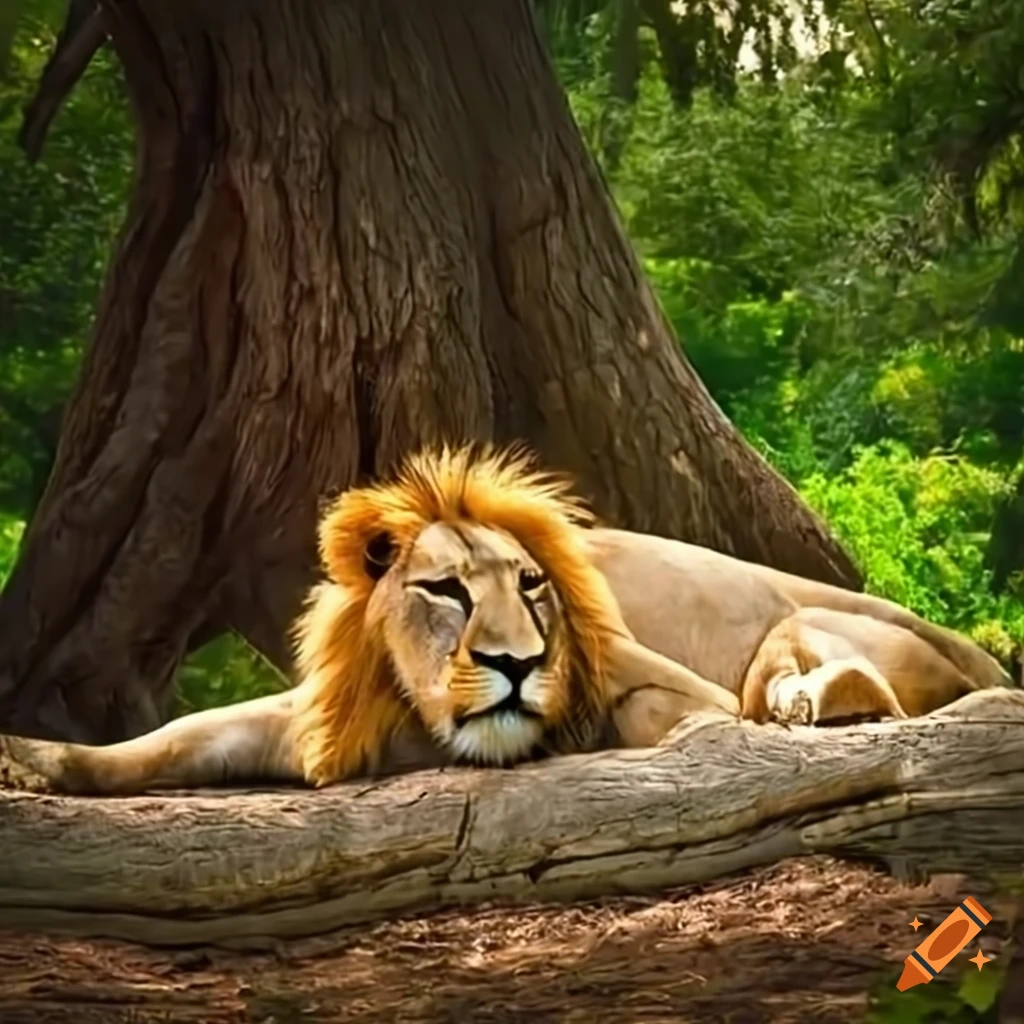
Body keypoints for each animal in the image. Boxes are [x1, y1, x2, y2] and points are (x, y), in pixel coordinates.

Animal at [0, 443, 1011, 794]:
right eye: (444, 591)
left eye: (533, 585)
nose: (517, 664)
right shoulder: (305, 722)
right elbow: (172, 740)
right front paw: (36, 761)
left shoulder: (679, 688)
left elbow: (666, 717)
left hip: (796, 627)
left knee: (836, 677)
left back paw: (818, 707)